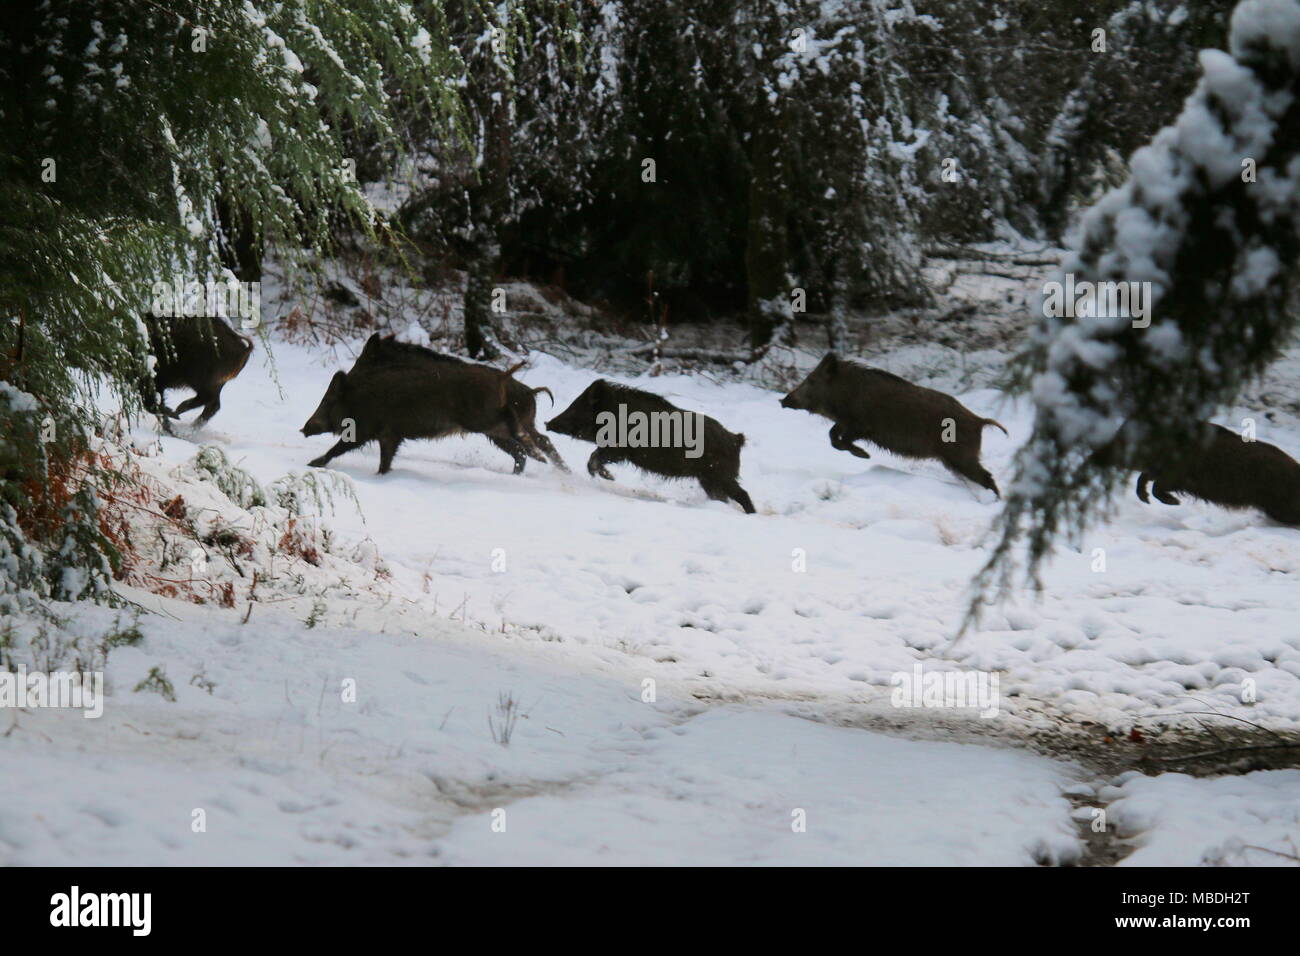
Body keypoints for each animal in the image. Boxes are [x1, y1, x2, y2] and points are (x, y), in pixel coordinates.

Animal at [300, 347, 549, 476]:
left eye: (328, 400)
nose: (303, 429)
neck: (357, 399)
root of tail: (502, 377)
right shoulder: (390, 435)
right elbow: (385, 461)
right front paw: (382, 475)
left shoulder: (364, 431)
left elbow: (338, 448)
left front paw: (312, 463)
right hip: (490, 427)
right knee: (520, 449)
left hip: (483, 419)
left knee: (525, 438)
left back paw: (541, 458)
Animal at [349, 334, 567, 473]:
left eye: (366, 358)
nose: (350, 377)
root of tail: (530, 392)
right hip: (502, 431)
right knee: (529, 448)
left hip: (508, 425)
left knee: (534, 445)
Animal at [545, 379, 755, 513]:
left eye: (576, 407)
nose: (547, 423)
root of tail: (736, 439)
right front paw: (607, 477)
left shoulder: (619, 449)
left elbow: (593, 458)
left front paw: (610, 477)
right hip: (708, 480)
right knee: (723, 497)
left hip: (721, 475)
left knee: (743, 494)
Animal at [780, 353, 1007, 497]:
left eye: (811, 380)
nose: (783, 400)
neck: (844, 394)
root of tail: (979, 421)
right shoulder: (845, 423)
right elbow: (832, 436)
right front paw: (863, 455)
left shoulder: (863, 426)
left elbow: (840, 439)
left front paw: (865, 455)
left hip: (962, 457)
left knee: (987, 477)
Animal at [1135, 422, 1300, 525]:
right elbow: (1144, 479)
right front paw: (1145, 498)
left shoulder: (1180, 476)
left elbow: (1156, 486)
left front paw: (1174, 502)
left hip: (1281, 507)